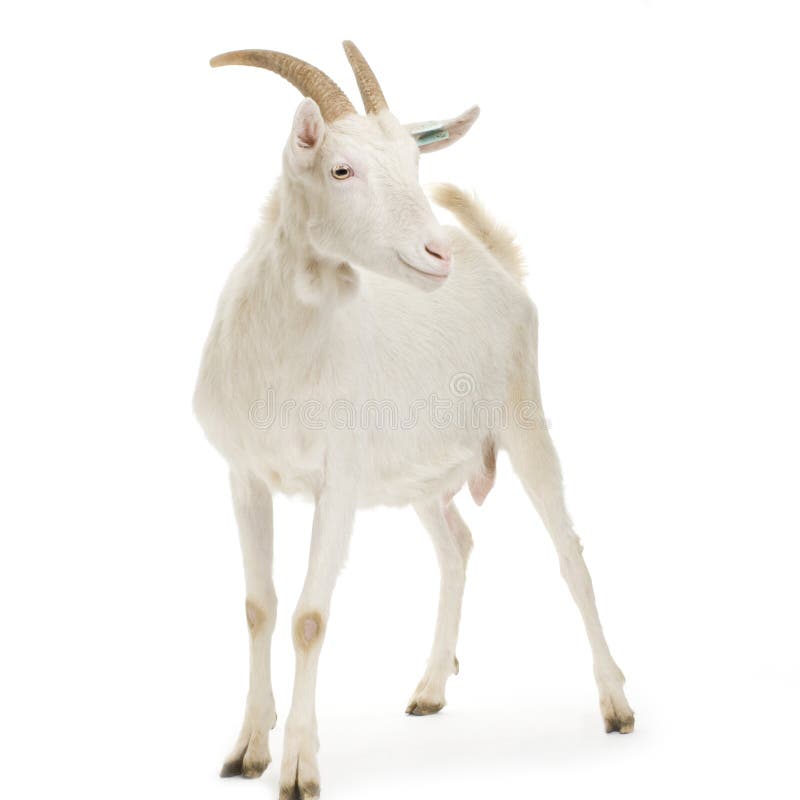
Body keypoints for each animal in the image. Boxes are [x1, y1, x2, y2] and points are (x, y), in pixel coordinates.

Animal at [194, 41, 634, 800]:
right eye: (341, 168)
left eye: (416, 163)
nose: (436, 254)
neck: (285, 356)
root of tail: (497, 263)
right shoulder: (244, 475)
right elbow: (259, 607)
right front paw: (248, 747)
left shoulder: (337, 482)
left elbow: (309, 617)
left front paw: (300, 766)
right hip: (422, 472)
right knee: (456, 546)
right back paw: (430, 687)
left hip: (524, 416)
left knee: (571, 553)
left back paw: (616, 703)